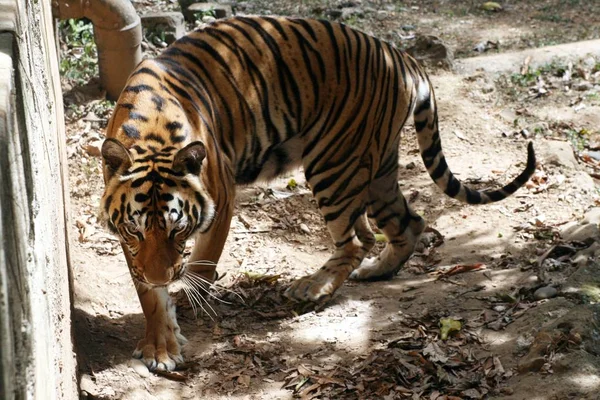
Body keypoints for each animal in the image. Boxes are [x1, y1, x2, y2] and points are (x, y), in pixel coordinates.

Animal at [101, 16, 536, 372]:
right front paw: (161, 343)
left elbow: (203, 263)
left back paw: (314, 287)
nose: (163, 274)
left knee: (358, 238)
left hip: (335, 166)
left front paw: (188, 298)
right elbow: (147, 292)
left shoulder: (221, 199)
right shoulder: (129, 237)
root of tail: (401, 55)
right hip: (378, 167)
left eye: (178, 230)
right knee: (409, 222)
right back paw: (377, 271)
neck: (150, 133)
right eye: (137, 231)